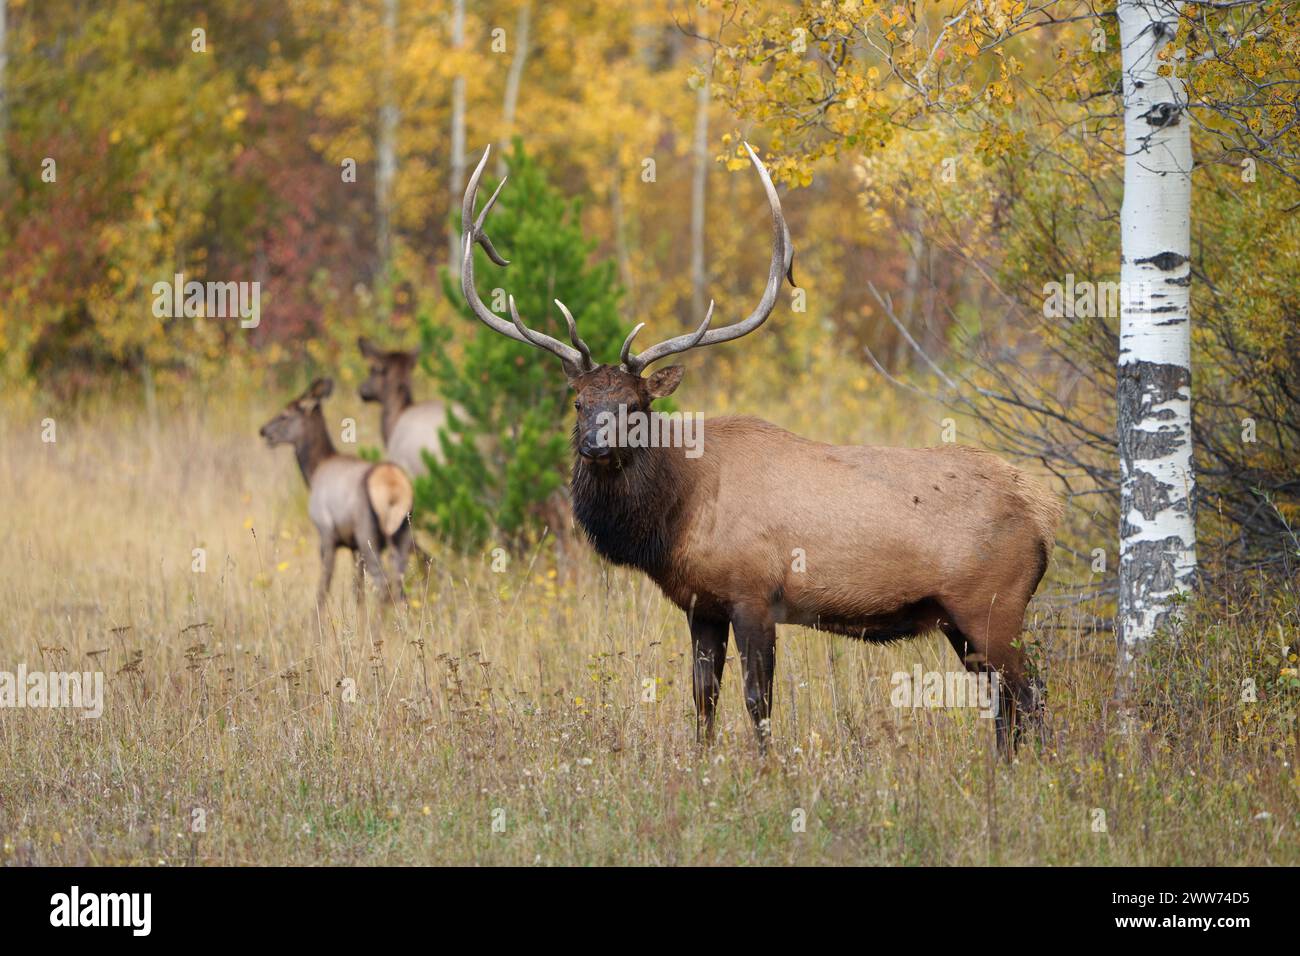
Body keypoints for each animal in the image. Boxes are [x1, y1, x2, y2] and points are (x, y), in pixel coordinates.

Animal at [259, 378, 414, 609]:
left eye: (285, 414)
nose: (263, 430)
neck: (315, 470)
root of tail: (394, 491)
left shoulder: (326, 532)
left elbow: (323, 589)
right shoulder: (353, 547)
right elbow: (358, 592)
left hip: (367, 535)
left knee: (384, 585)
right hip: (402, 536)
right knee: (400, 587)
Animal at [455, 143, 1061, 755]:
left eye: (635, 405)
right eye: (579, 402)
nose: (595, 445)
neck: (676, 516)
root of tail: (1042, 514)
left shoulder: (753, 595)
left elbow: (757, 703)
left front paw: (767, 767)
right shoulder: (701, 605)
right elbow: (703, 699)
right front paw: (704, 762)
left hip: (993, 605)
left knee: (1031, 698)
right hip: (961, 621)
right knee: (1006, 706)